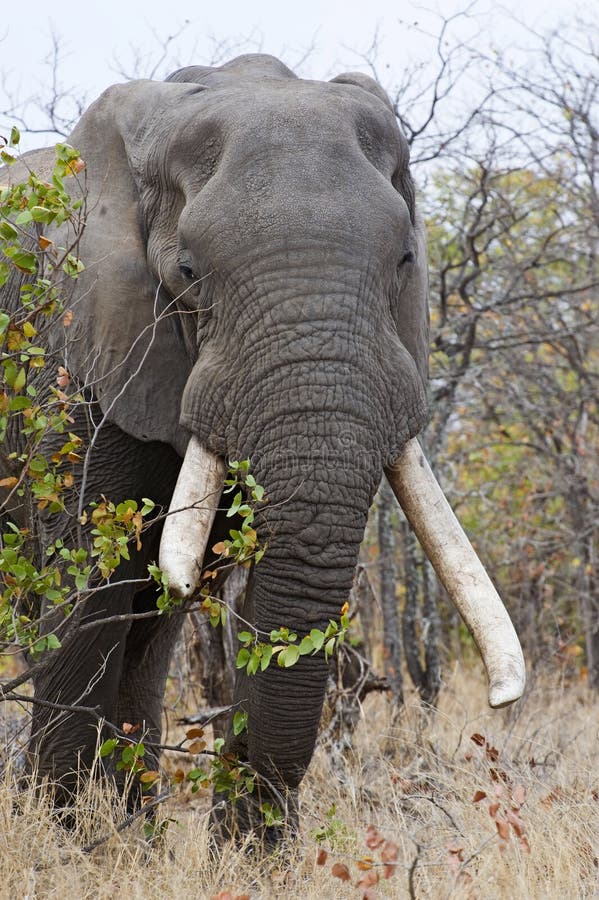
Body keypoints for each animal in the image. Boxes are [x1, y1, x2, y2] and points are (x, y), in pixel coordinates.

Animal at [1, 53, 525, 843]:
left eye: (406, 257)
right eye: (188, 273)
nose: (253, 847)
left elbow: (188, 592)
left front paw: (159, 852)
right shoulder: (73, 364)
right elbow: (89, 589)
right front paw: (64, 840)